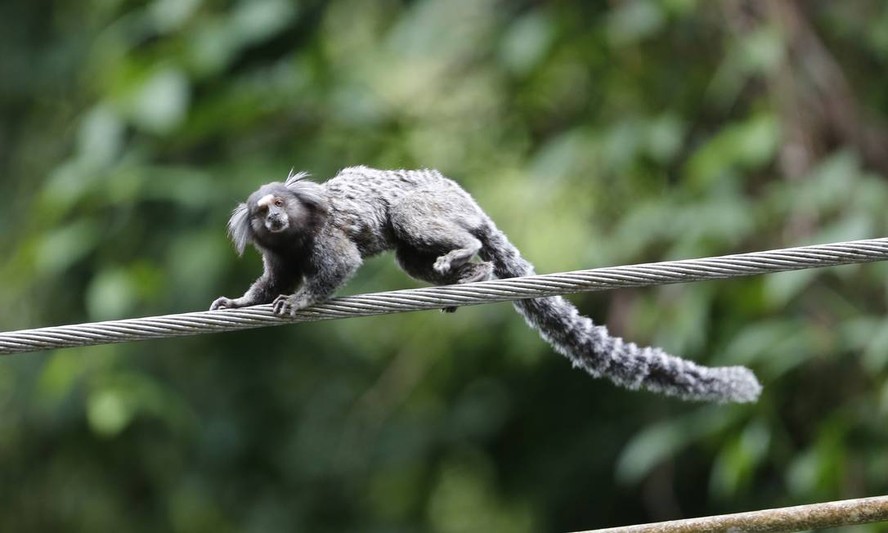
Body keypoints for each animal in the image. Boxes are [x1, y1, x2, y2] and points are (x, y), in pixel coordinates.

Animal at [210, 166, 762, 403]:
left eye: (280, 204)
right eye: (262, 212)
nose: (274, 217)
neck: (295, 233)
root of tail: (462, 195)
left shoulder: (325, 235)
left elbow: (337, 266)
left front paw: (299, 299)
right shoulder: (276, 252)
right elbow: (269, 281)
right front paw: (239, 301)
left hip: (435, 204)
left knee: (414, 220)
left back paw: (466, 255)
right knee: (413, 255)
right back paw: (471, 274)